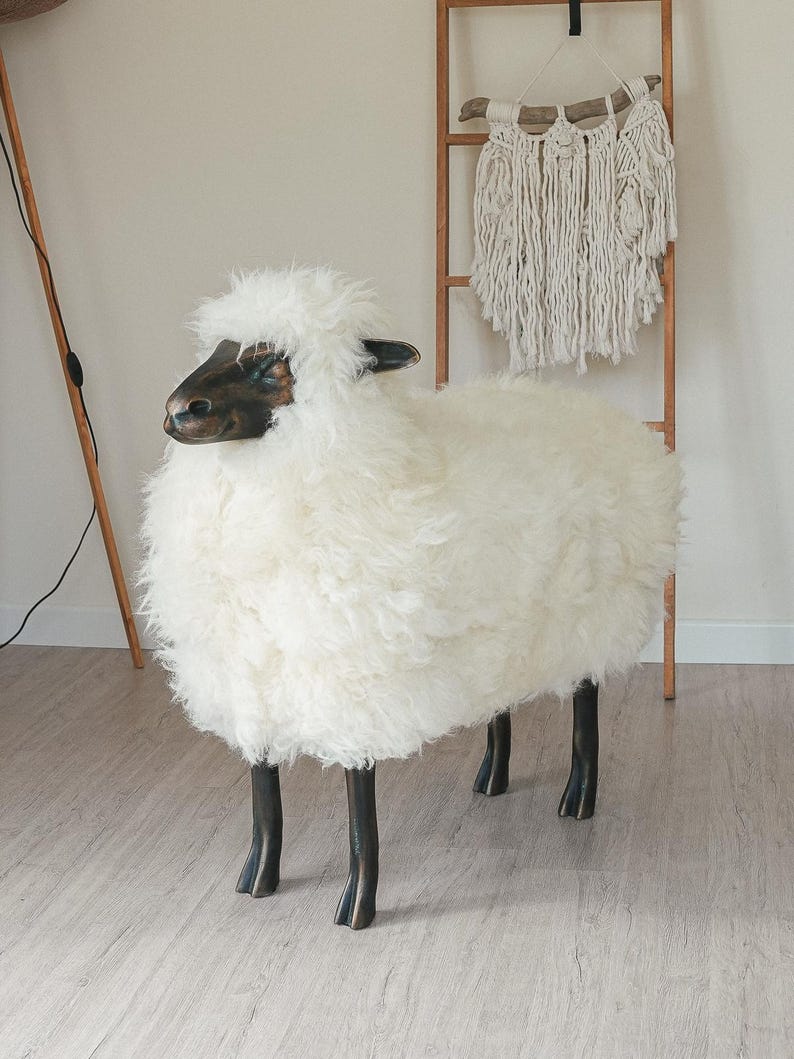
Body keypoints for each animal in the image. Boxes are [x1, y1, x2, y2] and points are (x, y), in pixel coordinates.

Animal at [141, 266, 681, 929]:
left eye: (275, 363)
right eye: (219, 350)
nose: (178, 412)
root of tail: (606, 417)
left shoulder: (358, 683)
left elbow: (359, 809)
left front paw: (357, 905)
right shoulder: (254, 673)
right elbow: (263, 792)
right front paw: (257, 879)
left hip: (592, 617)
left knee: (586, 704)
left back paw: (578, 797)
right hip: (499, 625)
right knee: (499, 699)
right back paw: (492, 777)